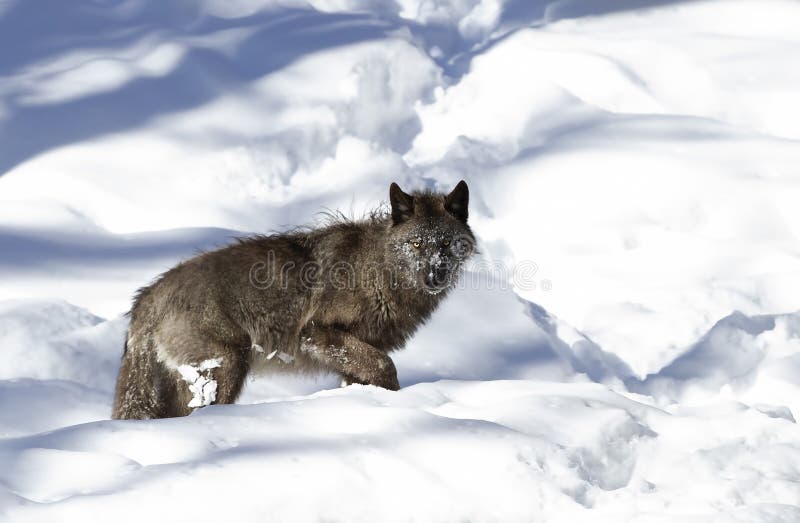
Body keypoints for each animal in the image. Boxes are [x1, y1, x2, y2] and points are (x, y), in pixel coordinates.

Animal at [112, 181, 474, 419]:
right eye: (416, 244)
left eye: (445, 243)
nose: (435, 276)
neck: (376, 269)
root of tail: (149, 296)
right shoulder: (315, 333)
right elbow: (387, 367)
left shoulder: (357, 353)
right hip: (229, 365)